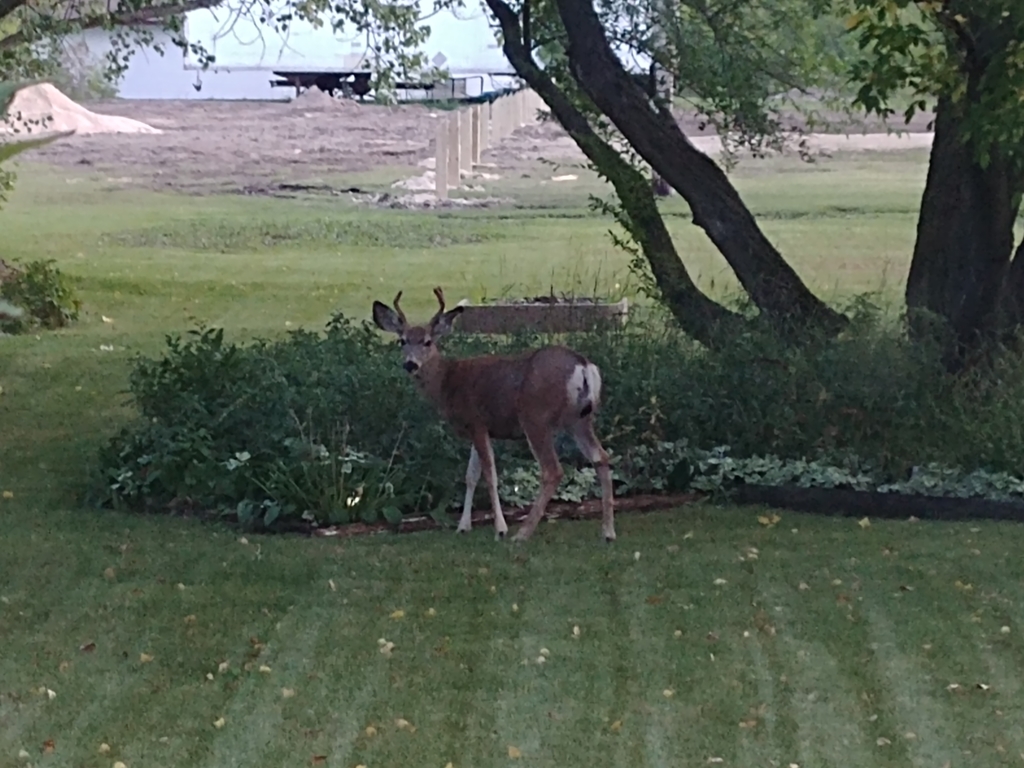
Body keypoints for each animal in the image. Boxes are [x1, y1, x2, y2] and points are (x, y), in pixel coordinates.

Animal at [371, 287, 616, 543]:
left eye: (427, 342)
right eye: (402, 341)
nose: (410, 364)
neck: (447, 381)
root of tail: (583, 365)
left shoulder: (476, 420)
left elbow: (490, 474)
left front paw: (500, 528)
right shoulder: (479, 427)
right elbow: (471, 475)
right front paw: (463, 526)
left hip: (535, 416)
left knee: (552, 470)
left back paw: (522, 534)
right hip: (579, 419)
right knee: (601, 457)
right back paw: (608, 532)